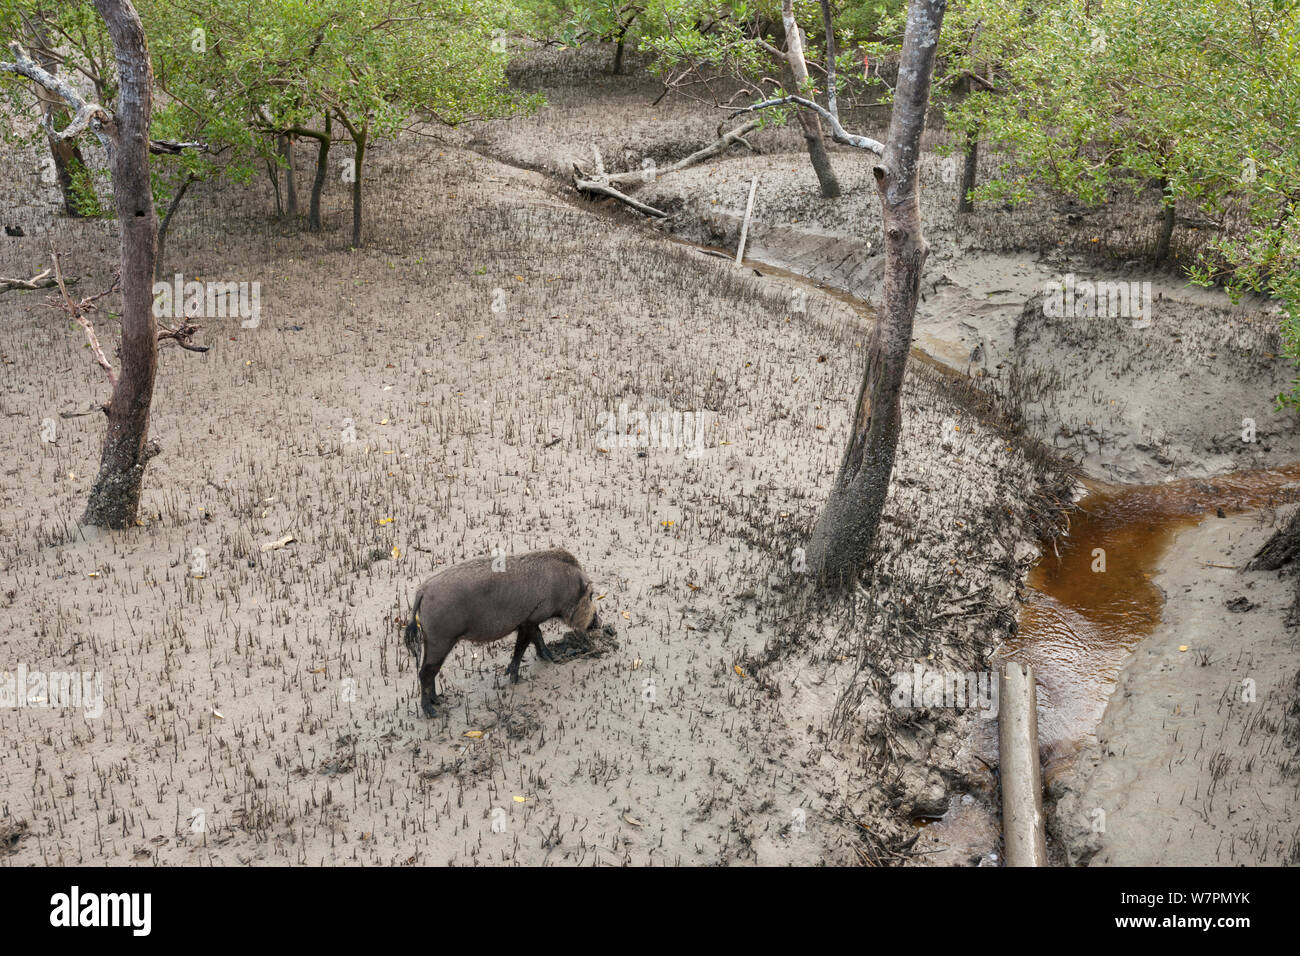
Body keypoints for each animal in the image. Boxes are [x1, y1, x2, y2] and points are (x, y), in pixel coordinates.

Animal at [403, 548, 601, 717]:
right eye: (591, 595)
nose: (598, 623)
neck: (563, 587)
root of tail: (422, 590)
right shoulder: (528, 621)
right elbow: (521, 648)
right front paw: (515, 680)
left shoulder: (530, 621)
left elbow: (538, 640)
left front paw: (551, 658)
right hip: (440, 641)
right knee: (424, 673)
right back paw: (432, 712)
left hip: (431, 641)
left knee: (428, 672)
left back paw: (439, 700)